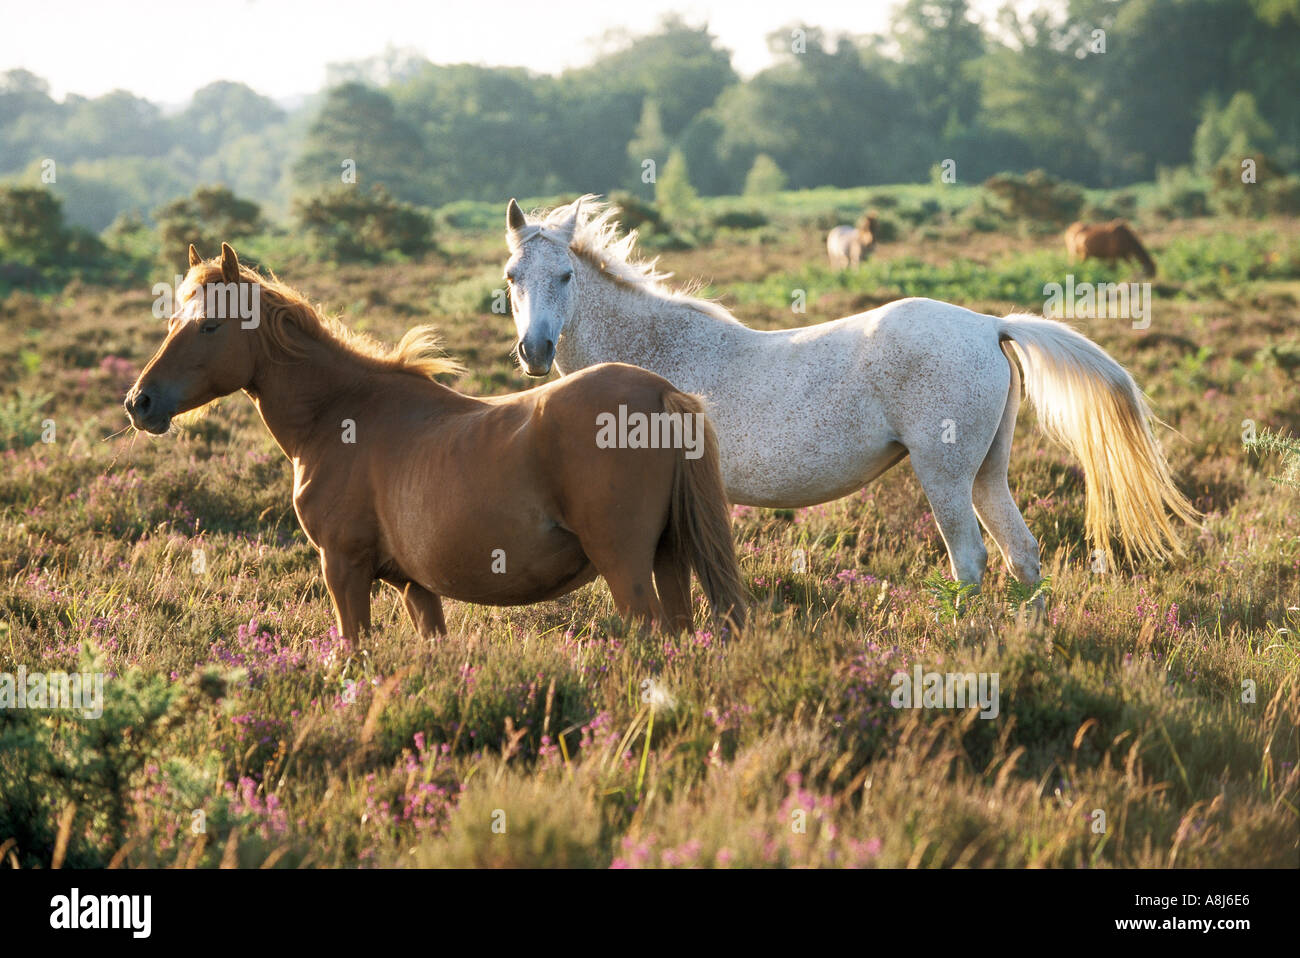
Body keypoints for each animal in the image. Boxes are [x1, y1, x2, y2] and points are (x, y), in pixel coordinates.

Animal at [124, 243, 745, 641]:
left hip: (626, 568)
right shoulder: (415, 588)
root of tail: (663, 393)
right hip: (669, 560)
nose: (140, 403)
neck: (342, 414)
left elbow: (354, 652)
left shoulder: (343, 569)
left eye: (209, 326)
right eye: (174, 319)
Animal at [502, 196, 1199, 592]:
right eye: (512, 277)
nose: (535, 351)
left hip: (943, 474)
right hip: (988, 471)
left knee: (970, 560)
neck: (655, 353)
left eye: (566, 275)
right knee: (1021, 554)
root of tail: (988, 325)